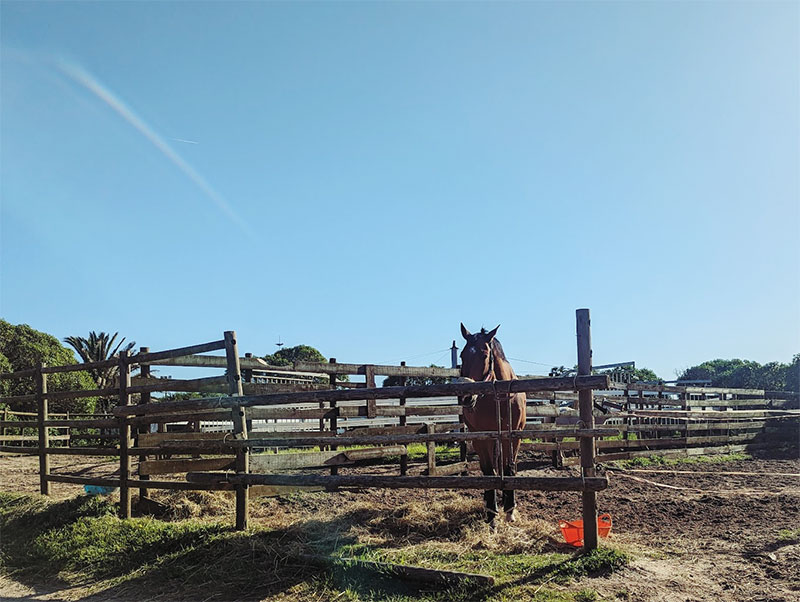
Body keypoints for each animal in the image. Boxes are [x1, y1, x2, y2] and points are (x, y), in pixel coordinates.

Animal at [458, 323, 527, 524]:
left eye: (484, 355)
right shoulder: (480, 436)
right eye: (461, 356)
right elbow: (489, 471)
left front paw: (510, 510)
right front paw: (491, 514)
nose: (466, 397)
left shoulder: (513, 436)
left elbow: (509, 468)